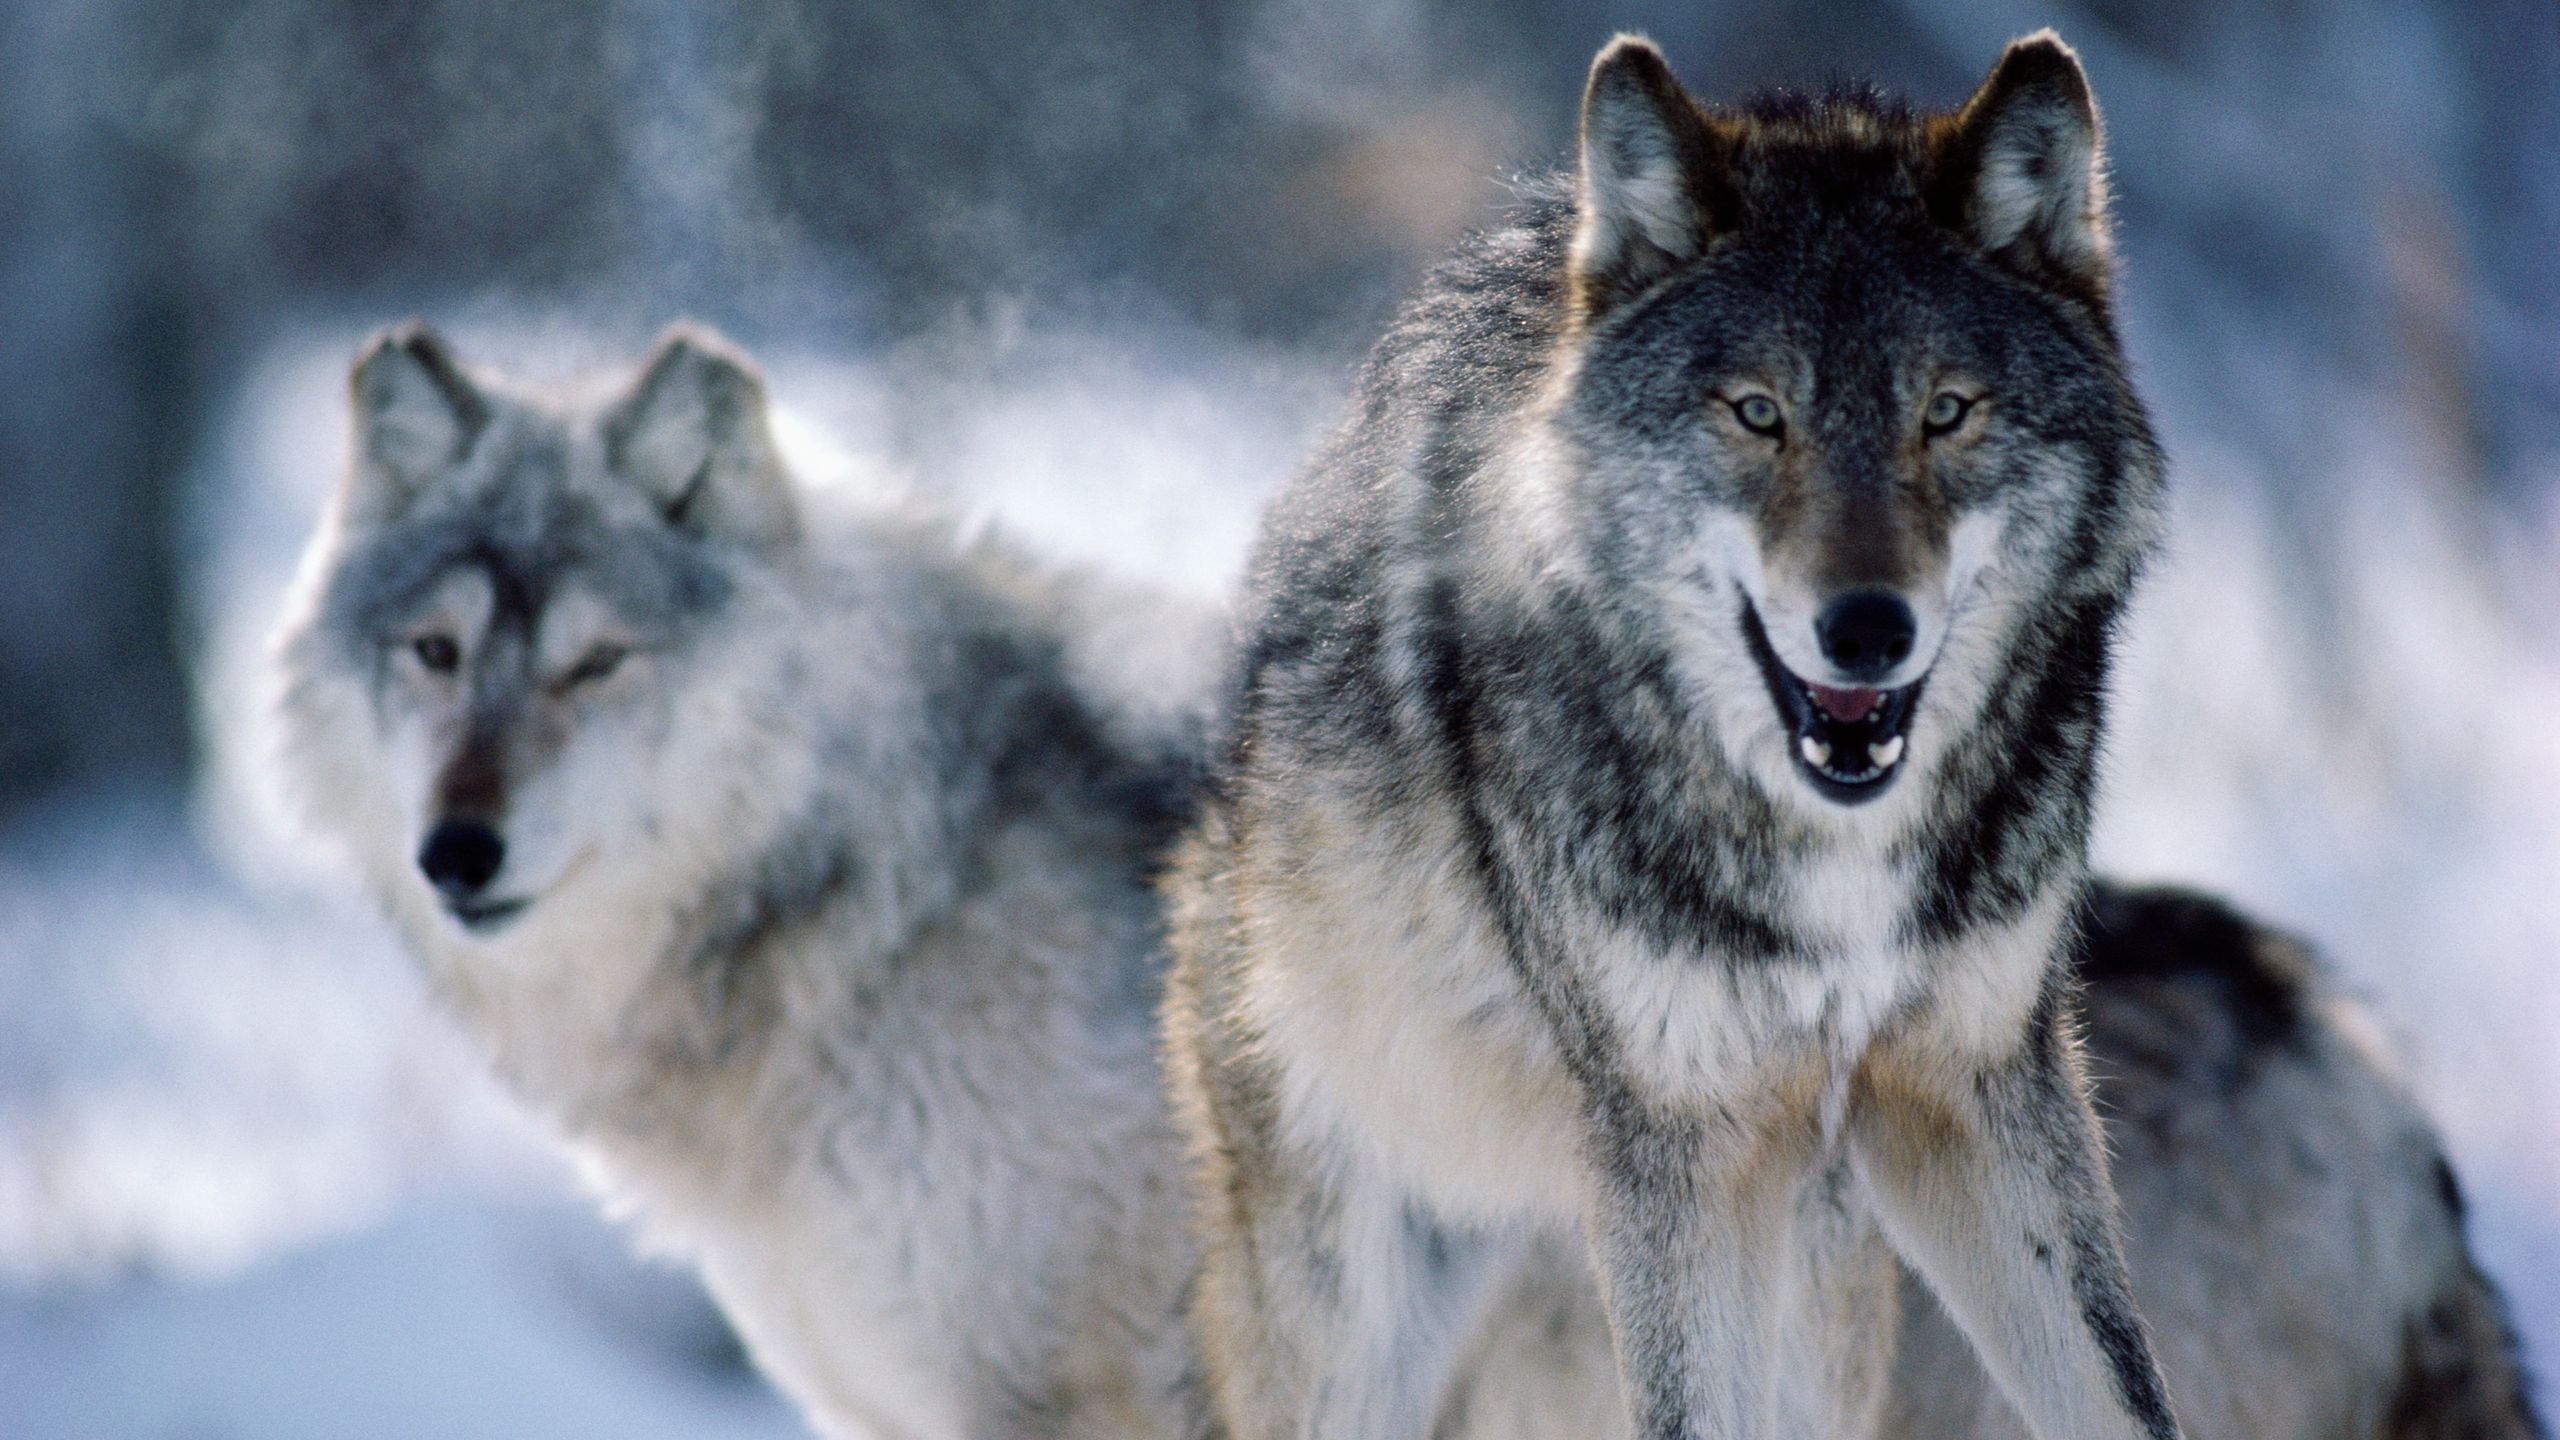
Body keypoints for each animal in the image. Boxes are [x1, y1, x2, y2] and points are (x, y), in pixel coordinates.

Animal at [1167, 30, 2245, 1440]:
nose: (1865, 629)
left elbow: (2119, 1388)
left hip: (1819, 1284)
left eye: (1946, 412)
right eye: (1756, 414)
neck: (1836, 857)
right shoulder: (1682, 1140)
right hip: (1360, 1327)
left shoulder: (1978, 1092)